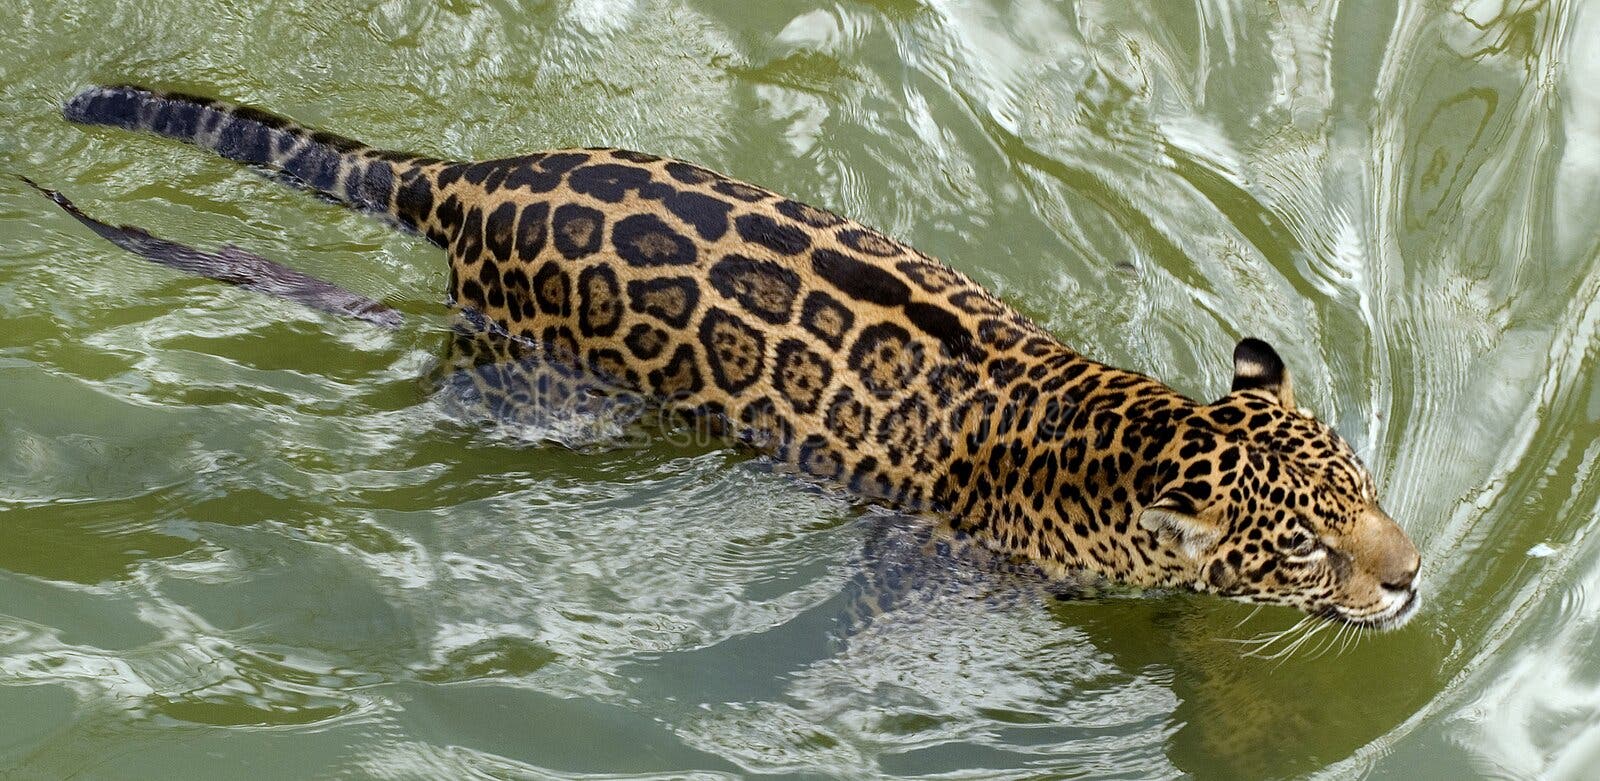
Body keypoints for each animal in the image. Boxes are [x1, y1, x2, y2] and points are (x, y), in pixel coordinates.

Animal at [57, 84, 1422, 629]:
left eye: (1364, 488)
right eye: (1303, 544)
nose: (1411, 581)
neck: (1129, 428)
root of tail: (472, 181)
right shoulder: (920, 568)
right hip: (532, 380)